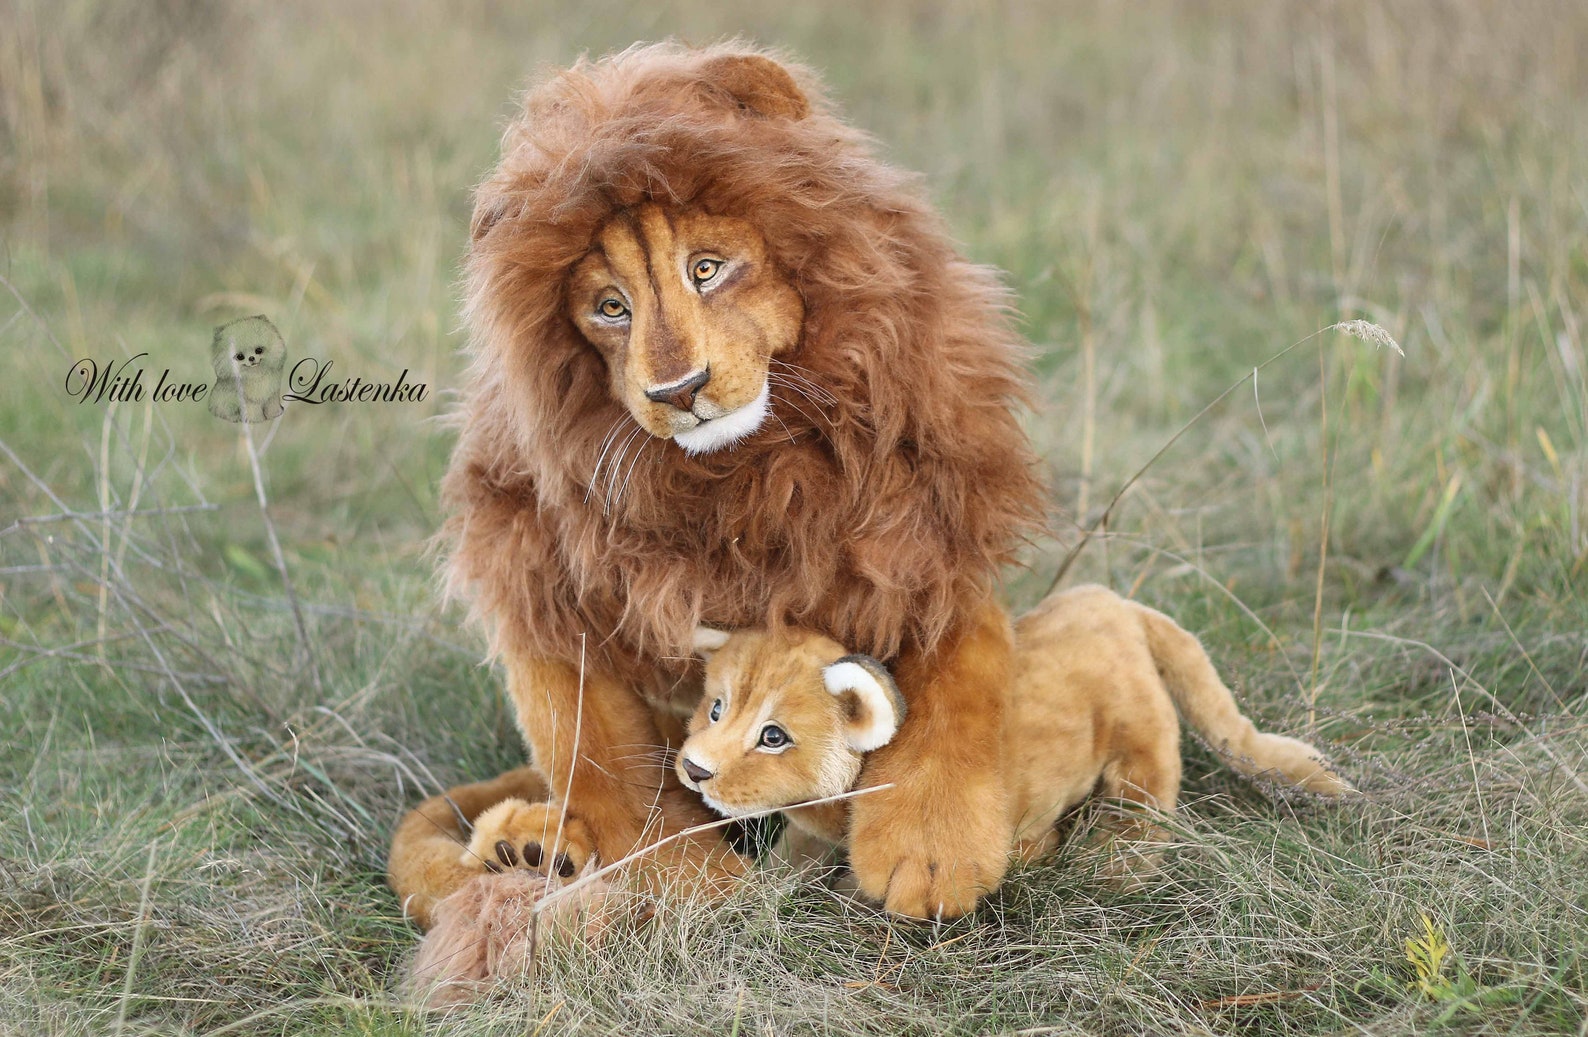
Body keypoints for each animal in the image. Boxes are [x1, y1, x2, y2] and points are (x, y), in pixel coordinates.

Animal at [387, 41, 1046, 924]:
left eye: (707, 269)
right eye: (611, 307)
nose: (678, 390)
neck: (748, 474)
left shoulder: (924, 545)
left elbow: (965, 679)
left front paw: (930, 849)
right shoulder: (543, 566)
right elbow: (593, 744)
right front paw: (683, 879)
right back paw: (526, 843)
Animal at [675, 584, 1356, 877]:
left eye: (774, 736)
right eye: (716, 709)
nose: (695, 769)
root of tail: (1120, 603)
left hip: (1143, 751)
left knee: (1142, 816)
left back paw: (1111, 869)